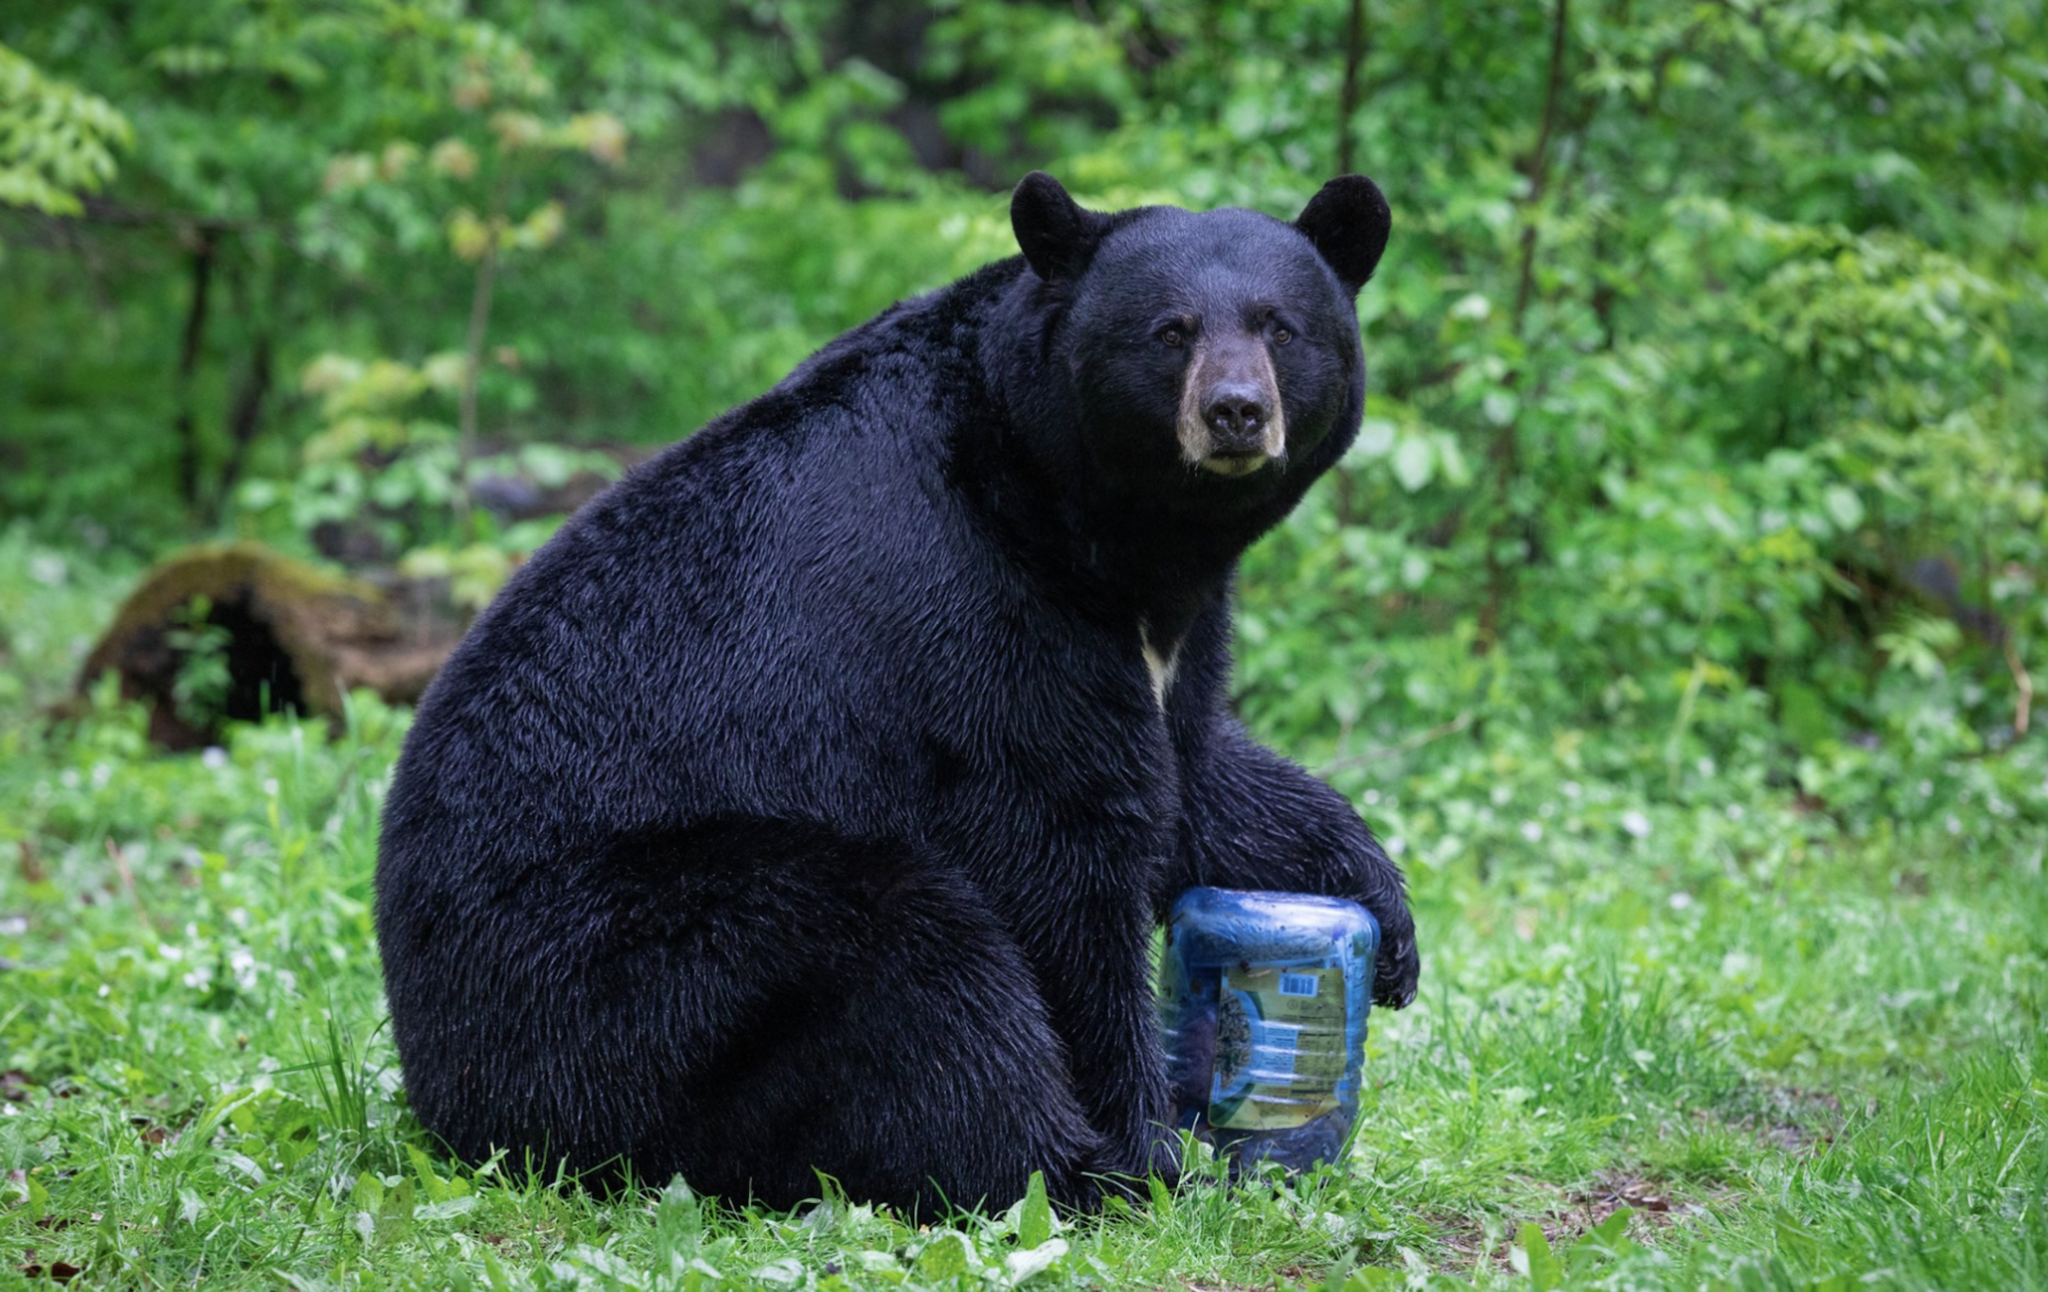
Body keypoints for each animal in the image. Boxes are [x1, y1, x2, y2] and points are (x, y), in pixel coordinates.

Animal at [373, 171, 1421, 1216]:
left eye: (1281, 326)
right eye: (1170, 331)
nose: (1237, 412)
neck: (1097, 526)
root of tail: (444, 1089)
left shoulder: (1168, 632)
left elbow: (1194, 770)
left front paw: (1382, 920)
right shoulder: (978, 605)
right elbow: (1061, 848)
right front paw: (1150, 1146)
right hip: (617, 964)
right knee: (909, 957)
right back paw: (1065, 1165)